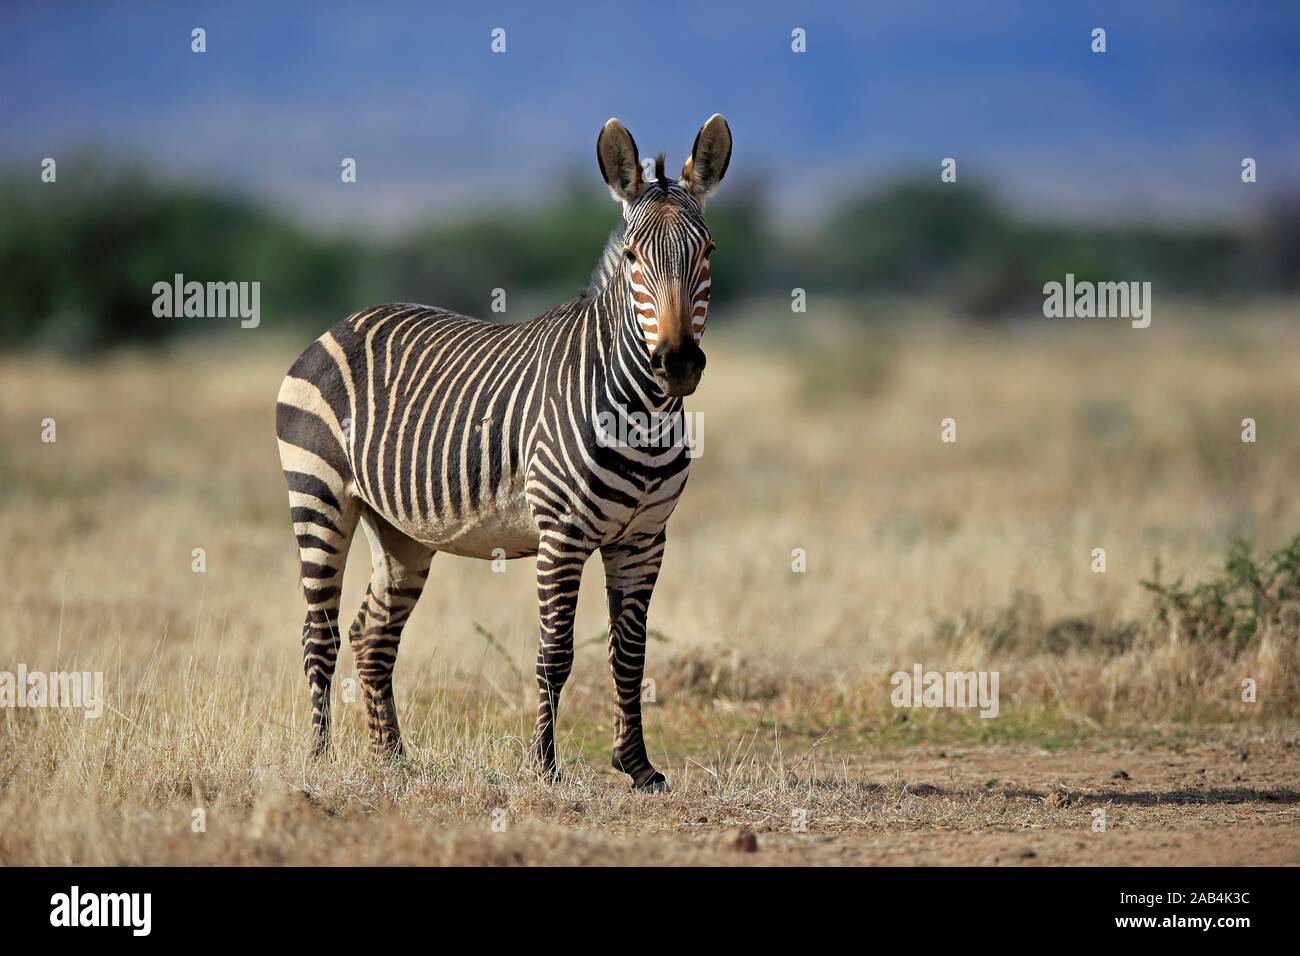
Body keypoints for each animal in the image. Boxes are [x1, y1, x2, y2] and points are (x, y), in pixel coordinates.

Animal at [275, 115, 731, 791]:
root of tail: (339, 324)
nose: (677, 364)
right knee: (320, 634)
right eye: (631, 258)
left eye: (708, 252)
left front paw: (638, 766)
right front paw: (544, 765)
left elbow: (630, 654)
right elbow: (556, 653)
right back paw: (319, 758)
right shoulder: (562, 533)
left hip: (400, 530)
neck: (643, 413)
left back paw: (392, 759)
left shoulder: (644, 539)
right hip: (319, 497)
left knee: (370, 635)